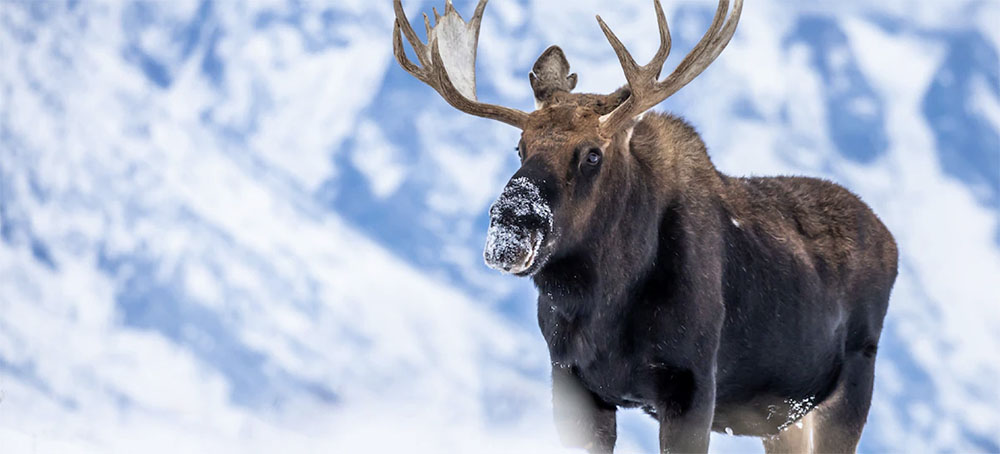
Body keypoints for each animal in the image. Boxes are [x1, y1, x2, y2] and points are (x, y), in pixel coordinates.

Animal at [392, 0, 898, 453]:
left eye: (592, 154)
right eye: (520, 147)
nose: (511, 231)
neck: (603, 304)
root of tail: (891, 240)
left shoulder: (691, 385)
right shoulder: (571, 380)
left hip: (849, 389)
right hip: (781, 419)